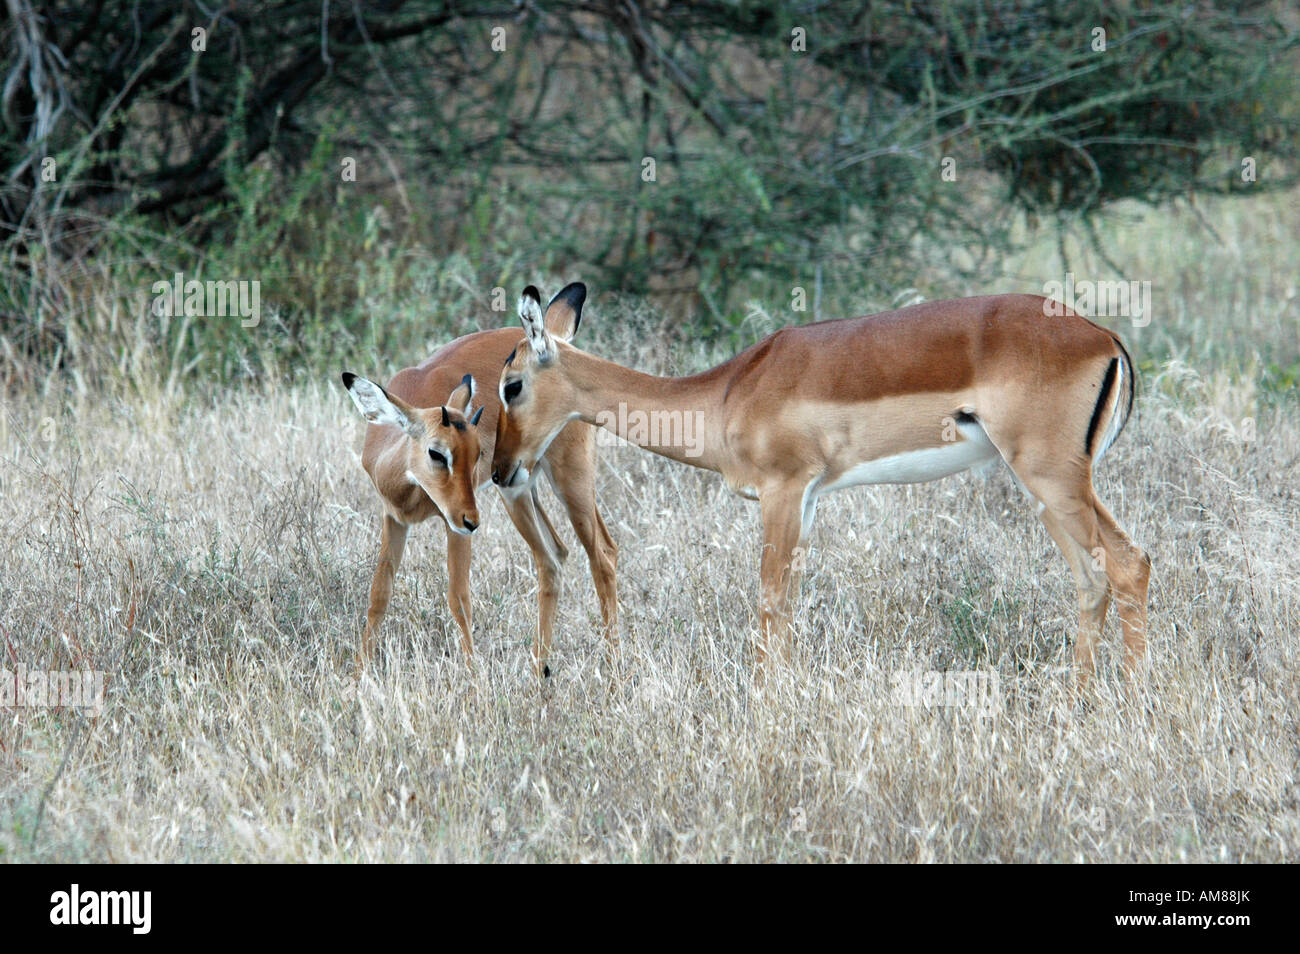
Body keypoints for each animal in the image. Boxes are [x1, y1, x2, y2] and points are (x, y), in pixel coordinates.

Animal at [341, 287, 618, 676]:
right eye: (436, 452)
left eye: (476, 455)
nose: (474, 520)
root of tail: (556, 339)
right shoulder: (394, 518)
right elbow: (379, 594)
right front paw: (358, 674)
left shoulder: (453, 524)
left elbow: (458, 597)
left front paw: (474, 681)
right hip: (515, 489)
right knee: (553, 557)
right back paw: (541, 670)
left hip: (569, 478)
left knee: (603, 555)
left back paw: (612, 669)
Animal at [492, 285, 1150, 684]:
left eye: (512, 385)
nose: (501, 471)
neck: (727, 393)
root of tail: (1104, 338)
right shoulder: (806, 502)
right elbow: (789, 602)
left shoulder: (782, 492)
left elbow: (768, 598)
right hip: (1048, 490)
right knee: (1094, 576)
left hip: (1052, 478)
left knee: (1129, 564)